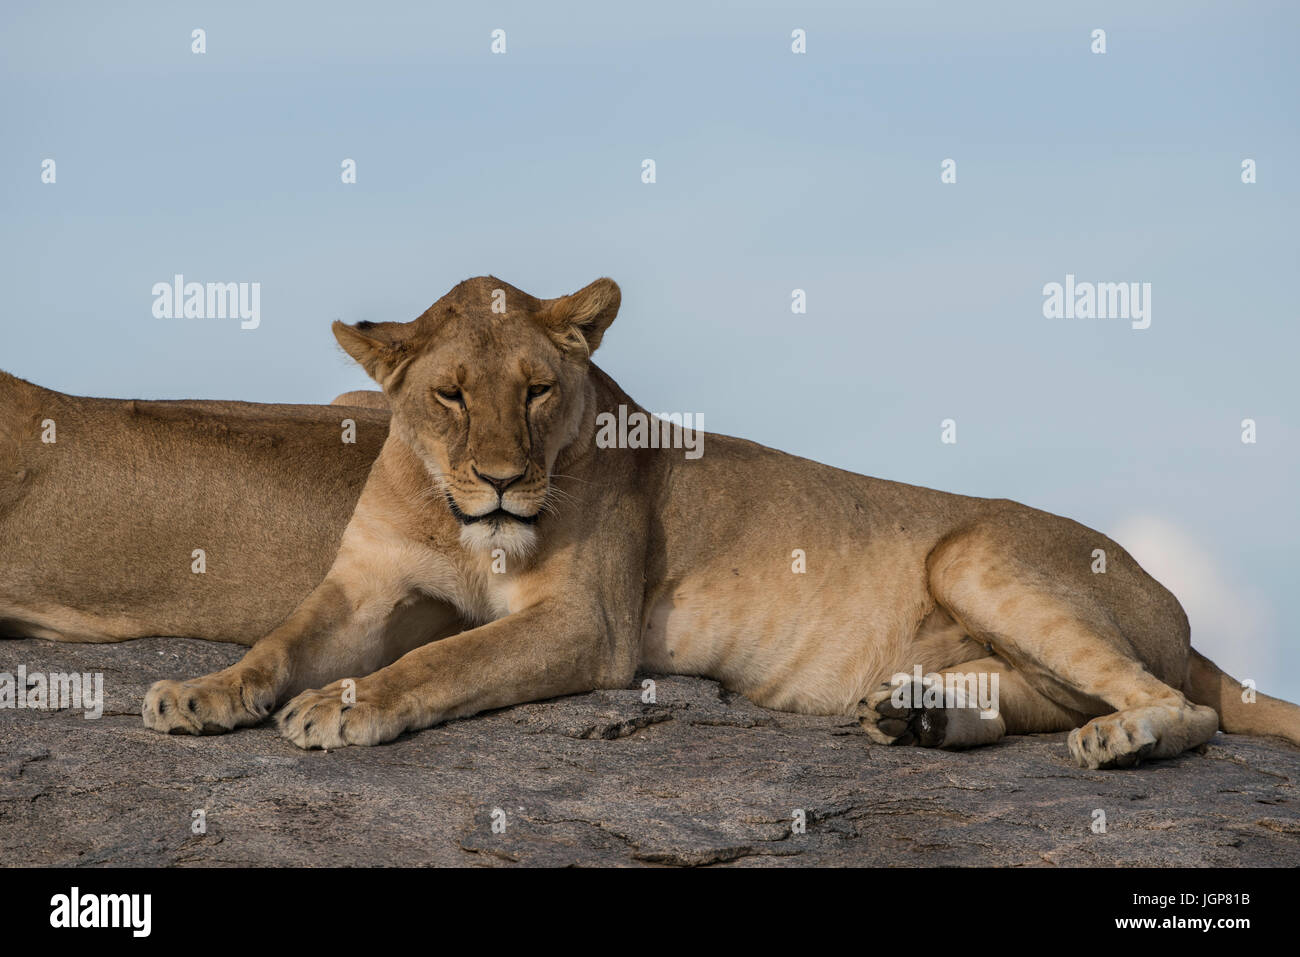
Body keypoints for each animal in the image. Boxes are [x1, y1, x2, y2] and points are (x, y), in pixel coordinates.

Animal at [132, 276, 1300, 769]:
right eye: (452, 394)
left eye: (539, 391)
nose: (504, 483)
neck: (448, 514)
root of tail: (1180, 613)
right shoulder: (364, 586)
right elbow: (278, 640)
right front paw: (196, 694)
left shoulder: (588, 626)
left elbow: (441, 662)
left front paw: (346, 707)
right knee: (1045, 697)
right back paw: (916, 715)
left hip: (980, 554)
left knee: (1173, 705)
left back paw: (1121, 740)